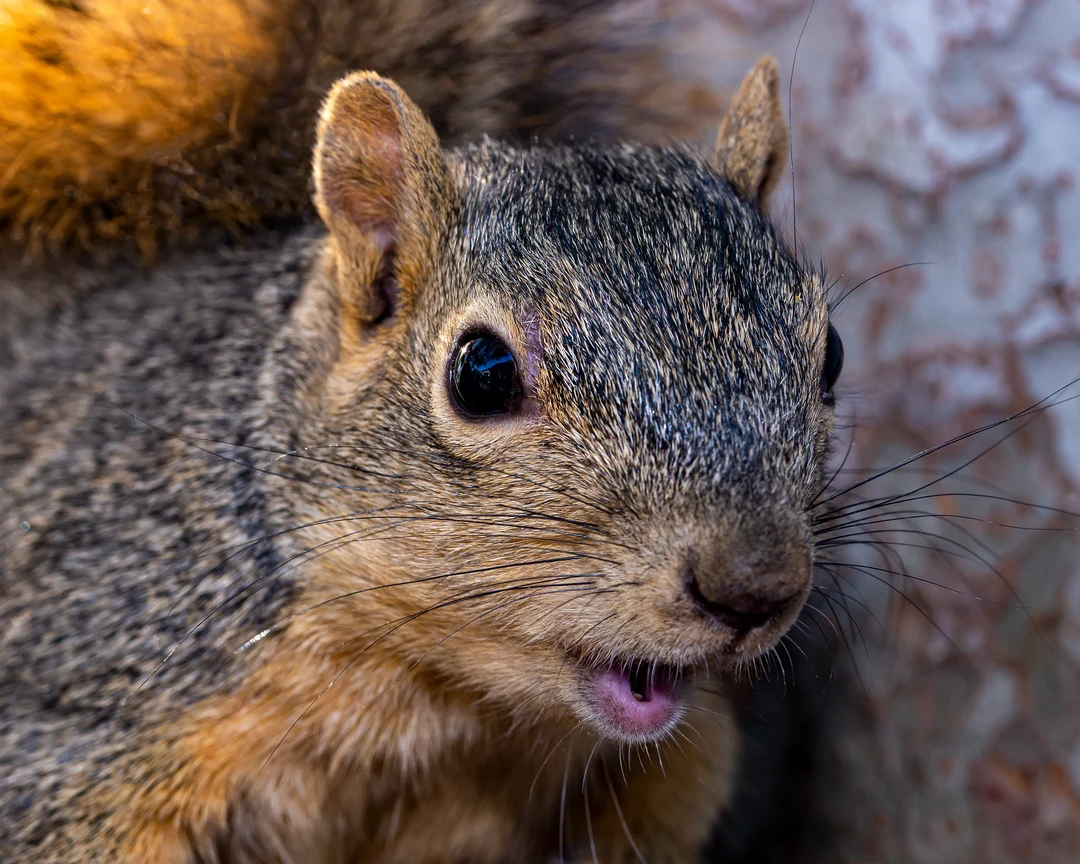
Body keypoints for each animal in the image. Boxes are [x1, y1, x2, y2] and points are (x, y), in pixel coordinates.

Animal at [0, 4, 842, 862]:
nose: (754, 587)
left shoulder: (676, 773)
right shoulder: (90, 716)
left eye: (833, 354)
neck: (445, 701)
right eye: (483, 374)